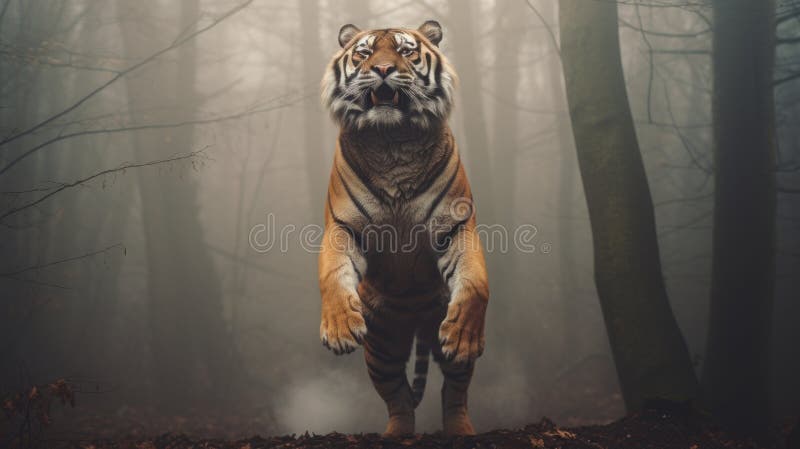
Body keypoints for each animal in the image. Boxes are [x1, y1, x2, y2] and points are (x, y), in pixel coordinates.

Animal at [318, 20, 489, 436]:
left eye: (405, 51)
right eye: (364, 53)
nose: (382, 70)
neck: (392, 141)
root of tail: (415, 320)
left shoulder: (457, 225)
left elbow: (476, 282)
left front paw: (464, 335)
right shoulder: (342, 226)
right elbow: (332, 275)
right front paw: (340, 329)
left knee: (453, 391)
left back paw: (460, 430)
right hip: (382, 342)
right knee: (397, 396)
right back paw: (397, 434)